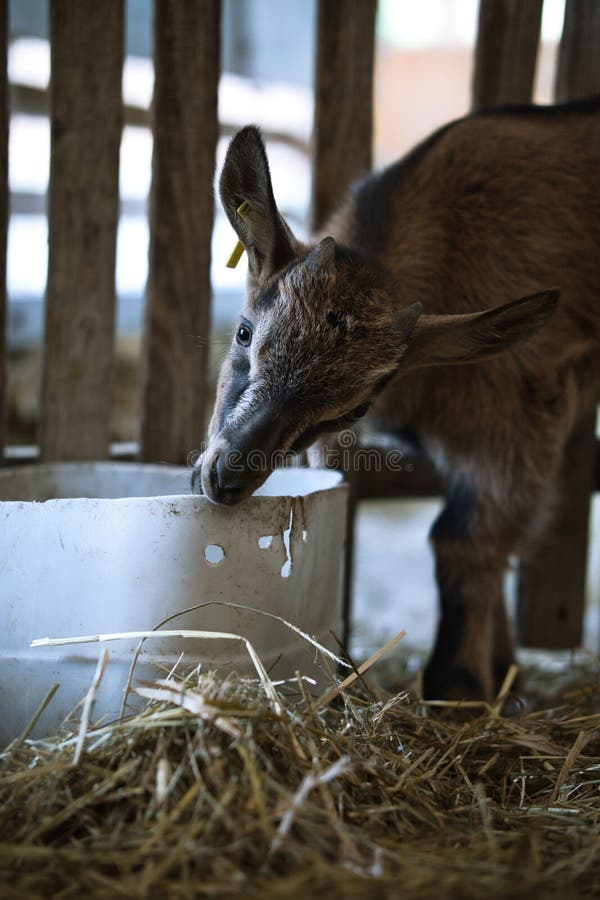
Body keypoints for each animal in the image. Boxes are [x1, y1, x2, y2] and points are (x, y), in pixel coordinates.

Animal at [192, 98, 600, 702]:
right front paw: (503, 675)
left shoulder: (521, 411)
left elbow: (464, 538)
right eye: (244, 332)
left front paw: (458, 687)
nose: (227, 478)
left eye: (356, 406)